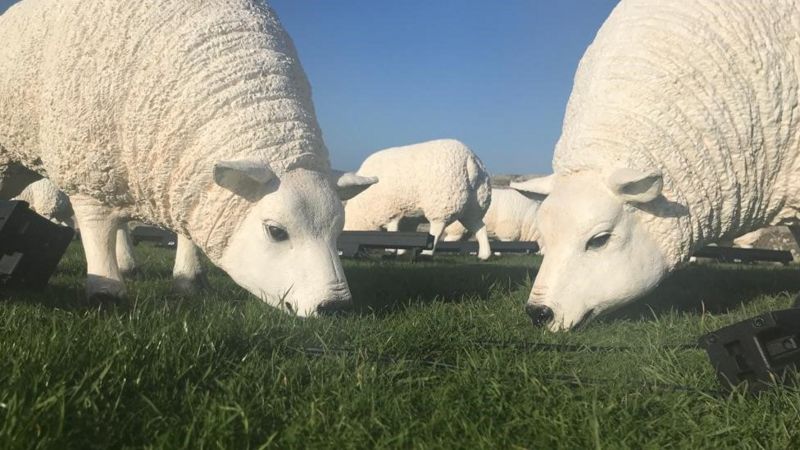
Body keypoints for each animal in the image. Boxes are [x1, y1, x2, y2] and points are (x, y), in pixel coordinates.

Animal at [0, 0, 376, 315]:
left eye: (339, 231)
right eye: (276, 232)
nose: (335, 307)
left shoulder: (183, 176)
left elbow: (186, 231)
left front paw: (189, 281)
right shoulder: (87, 170)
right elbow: (96, 228)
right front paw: (105, 293)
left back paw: (128, 264)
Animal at [343, 139, 492, 260]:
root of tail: (470, 160)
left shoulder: (390, 212)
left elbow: (392, 232)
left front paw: (390, 251)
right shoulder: (407, 217)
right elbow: (404, 235)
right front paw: (401, 252)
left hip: (443, 202)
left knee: (437, 229)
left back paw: (427, 253)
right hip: (474, 206)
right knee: (480, 227)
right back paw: (484, 255)